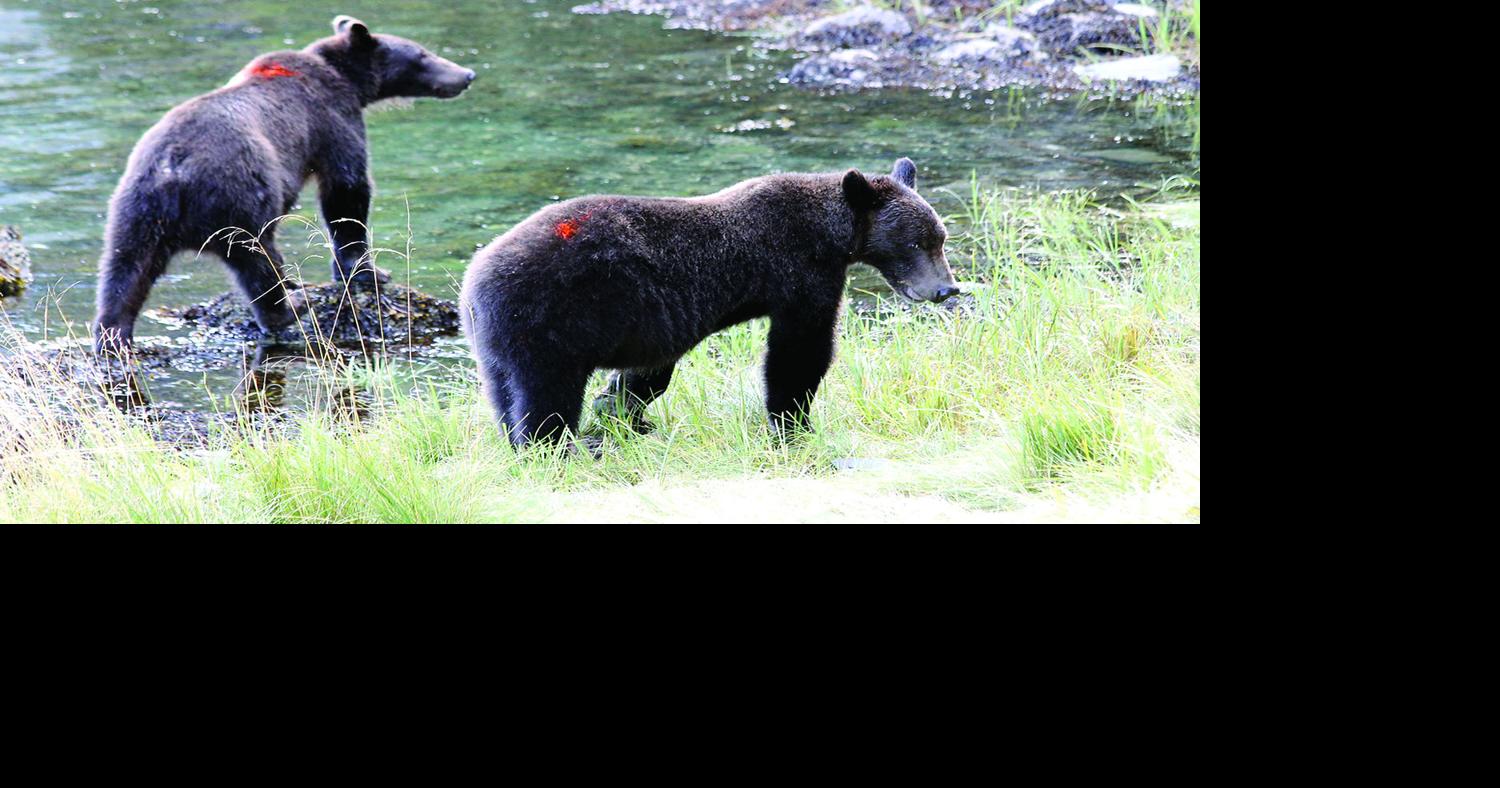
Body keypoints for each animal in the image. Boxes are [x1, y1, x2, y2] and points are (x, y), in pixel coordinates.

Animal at [91, 15, 476, 353]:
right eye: (422, 54)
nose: (467, 74)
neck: (346, 80)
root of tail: (173, 170)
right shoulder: (332, 120)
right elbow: (347, 189)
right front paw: (368, 271)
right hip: (238, 194)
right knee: (256, 254)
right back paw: (292, 303)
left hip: (134, 211)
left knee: (124, 271)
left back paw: (113, 334)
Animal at [459, 158, 960, 450]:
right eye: (916, 243)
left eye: (941, 238)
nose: (946, 290)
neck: (830, 235)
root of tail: (475, 283)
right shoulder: (801, 275)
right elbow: (800, 351)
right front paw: (792, 422)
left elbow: (648, 372)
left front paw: (622, 408)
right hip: (549, 323)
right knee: (545, 396)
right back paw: (555, 446)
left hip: (495, 341)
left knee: (503, 391)